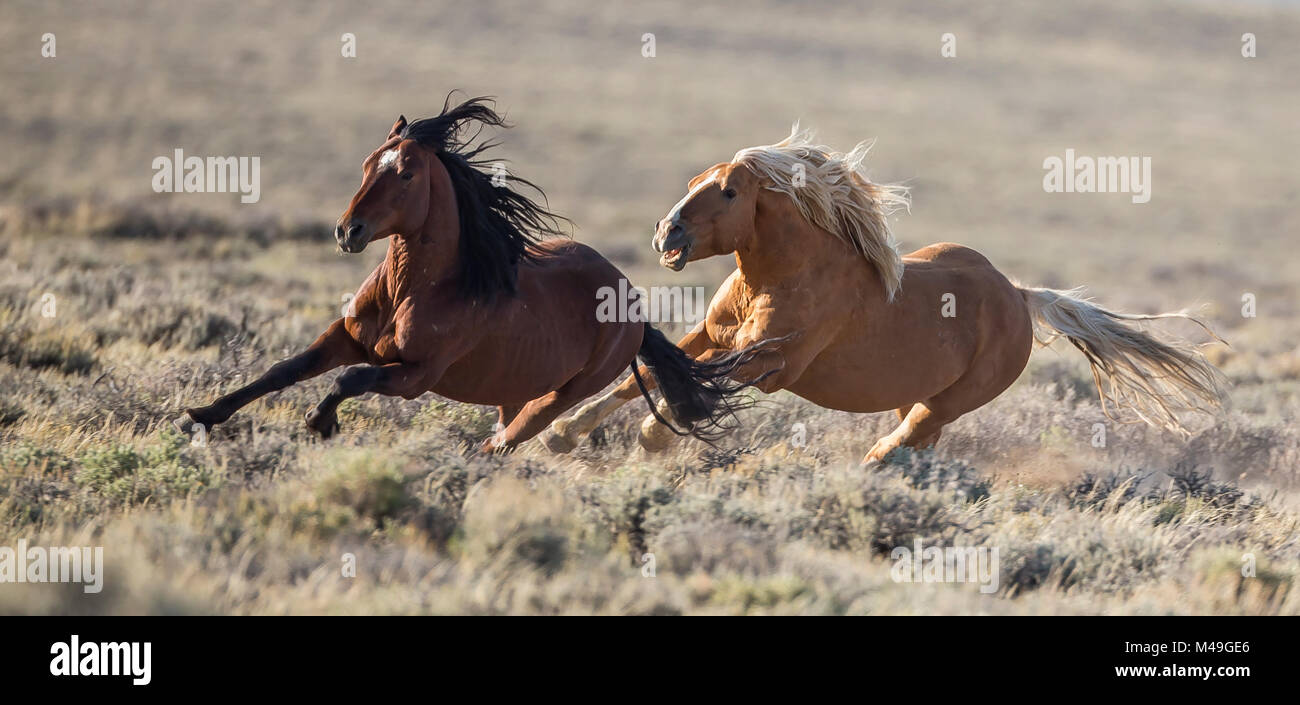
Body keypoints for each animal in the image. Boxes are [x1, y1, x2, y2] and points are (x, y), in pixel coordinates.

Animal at [181, 95, 774, 452]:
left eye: (407, 173)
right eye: (370, 162)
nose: (347, 231)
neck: (416, 289)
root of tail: (631, 306)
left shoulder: (415, 376)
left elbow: (349, 379)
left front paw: (320, 422)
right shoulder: (344, 337)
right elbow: (284, 369)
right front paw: (204, 414)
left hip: (560, 396)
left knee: (512, 437)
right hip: (514, 383)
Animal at [542, 126, 1226, 463]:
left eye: (731, 192)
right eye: (694, 181)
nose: (668, 233)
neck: (782, 275)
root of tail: (1019, 296)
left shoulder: (774, 364)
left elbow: (690, 385)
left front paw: (653, 438)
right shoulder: (712, 335)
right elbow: (651, 375)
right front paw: (566, 434)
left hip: (947, 402)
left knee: (910, 437)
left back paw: (870, 466)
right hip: (912, 393)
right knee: (919, 443)